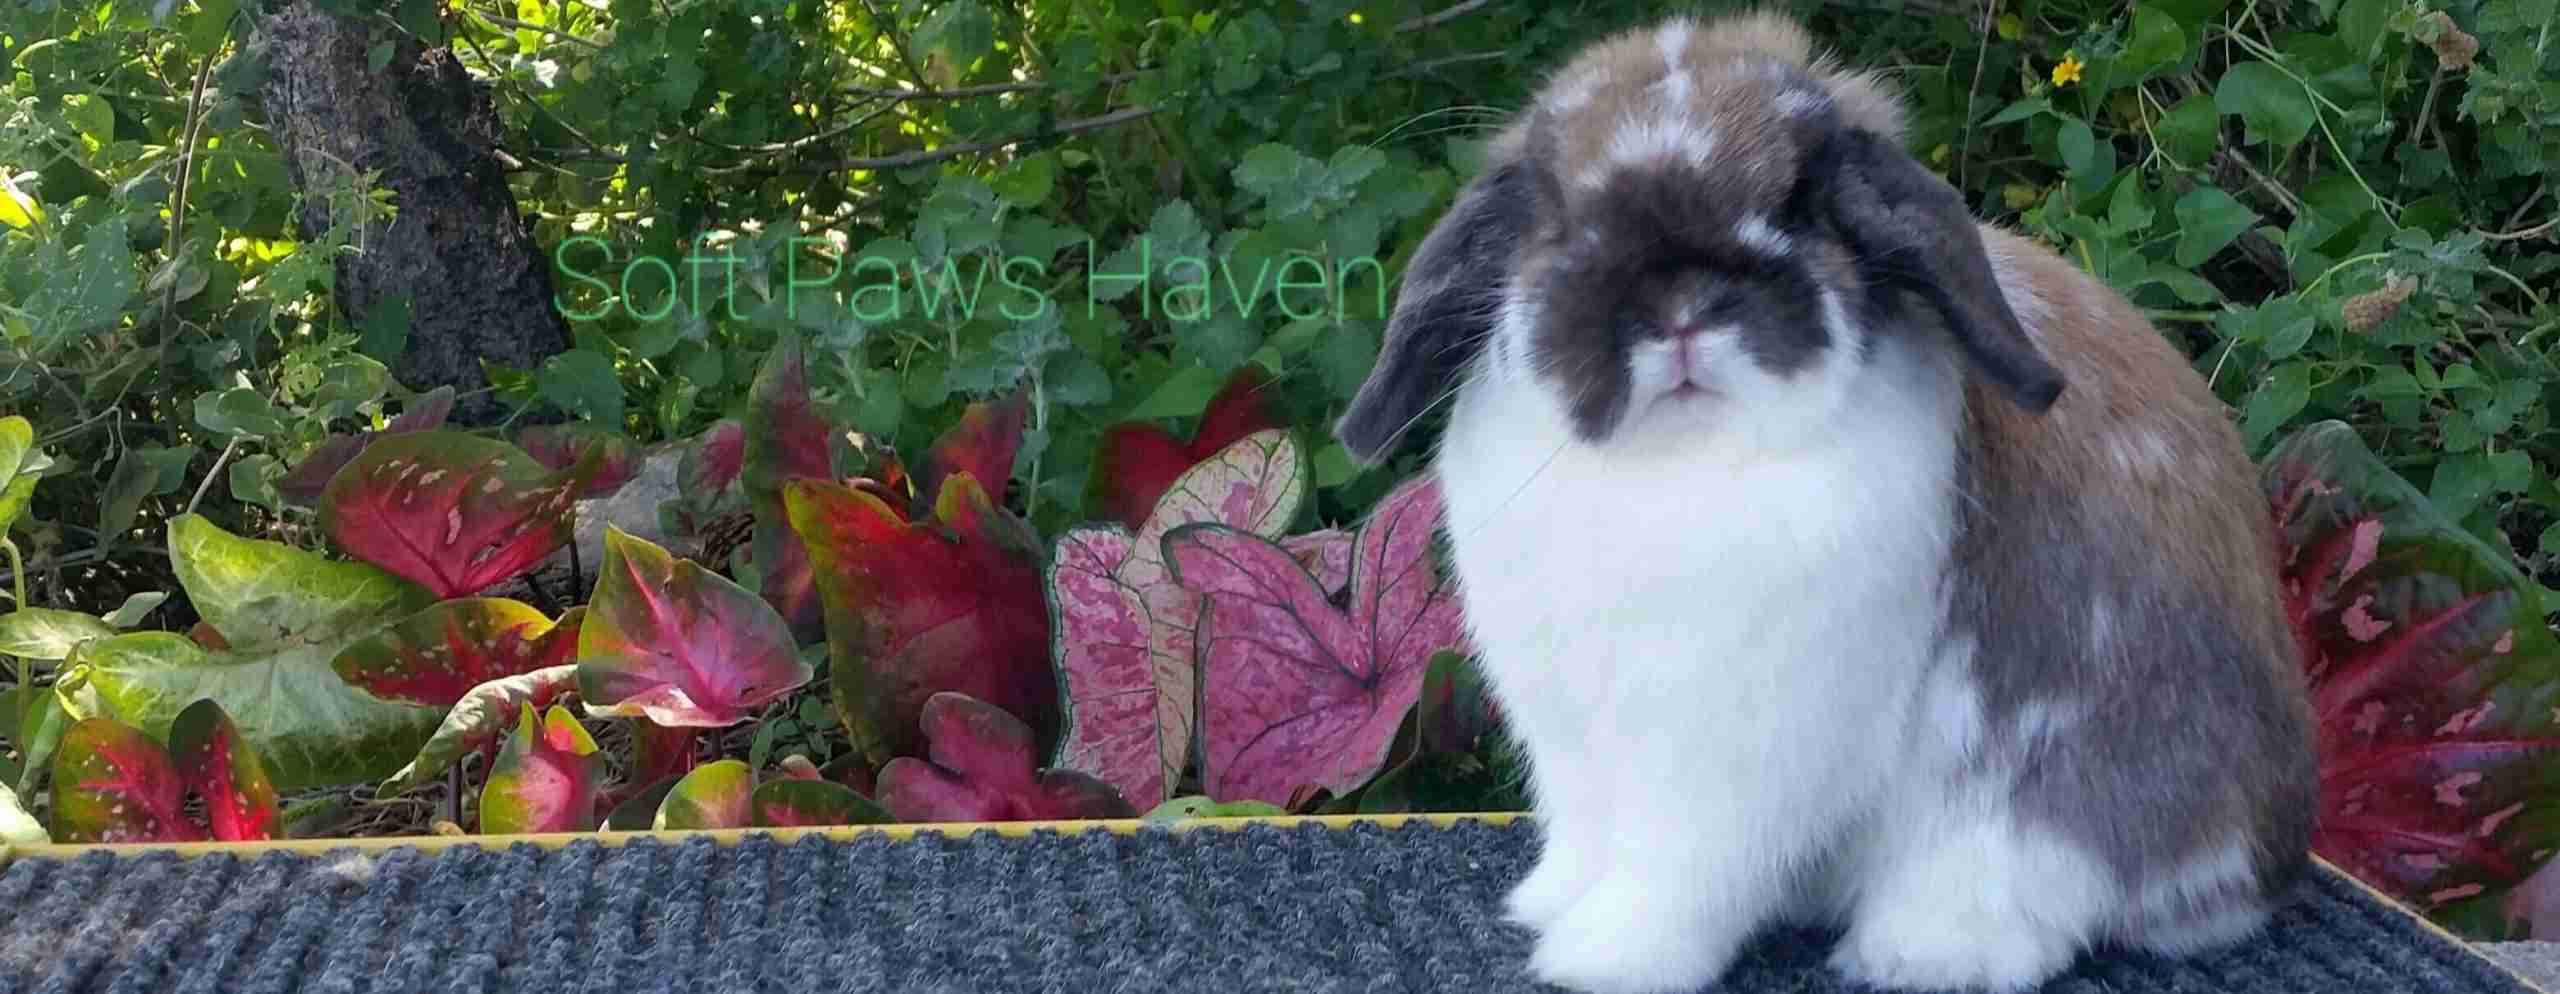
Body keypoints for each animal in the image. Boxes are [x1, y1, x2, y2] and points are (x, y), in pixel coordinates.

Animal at [1334, 12, 2318, 994]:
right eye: (1561, 218)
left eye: (1798, 204)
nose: (1681, 306)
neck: (1682, 460)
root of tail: (2268, 854)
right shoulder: (1573, 740)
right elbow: (1589, 839)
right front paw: (1548, 907)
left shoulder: (1728, 754)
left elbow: (1677, 870)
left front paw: (1605, 957)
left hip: (2052, 806)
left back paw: (1918, 950)